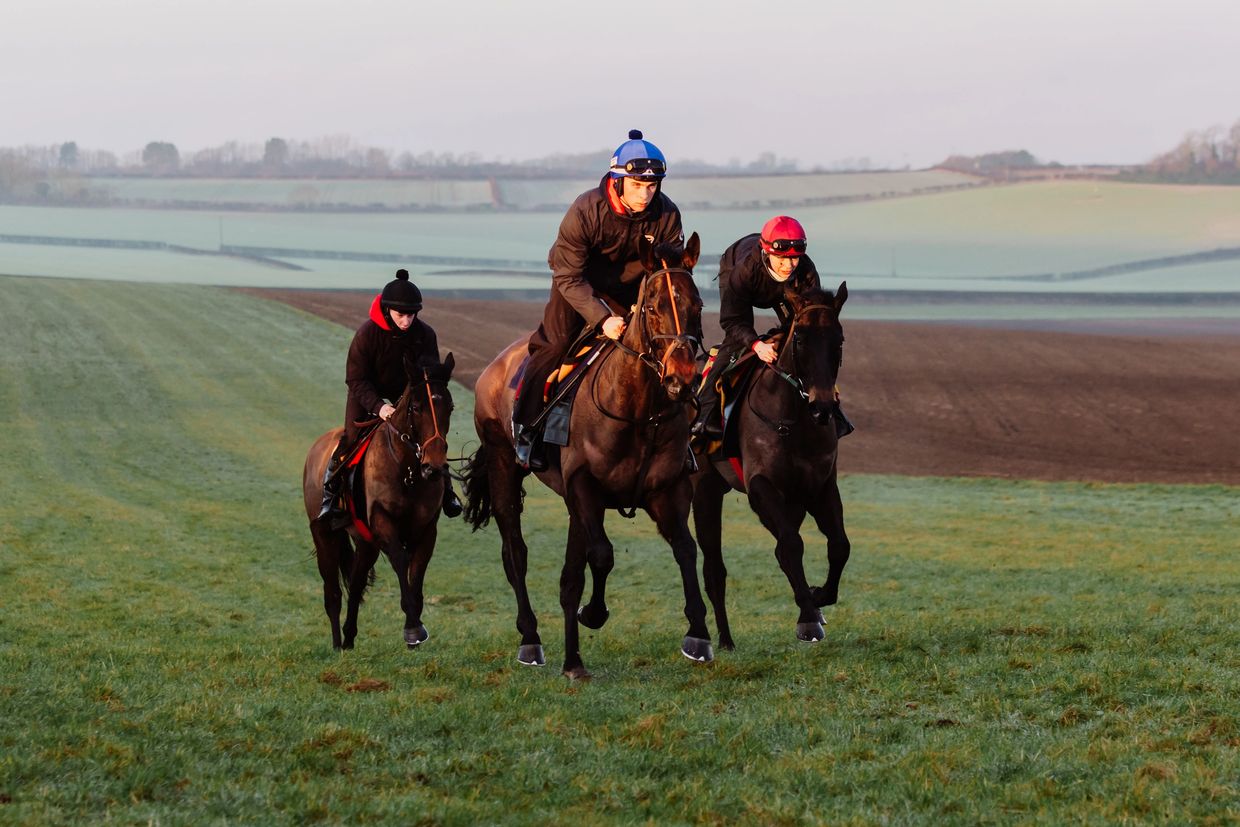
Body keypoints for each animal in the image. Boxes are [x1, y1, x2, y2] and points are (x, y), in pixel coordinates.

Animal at [302, 353, 455, 651]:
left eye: (451, 407)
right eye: (416, 407)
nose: (434, 466)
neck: (407, 472)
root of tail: (316, 449)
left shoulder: (426, 531)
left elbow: (416, 576)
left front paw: (416, 628)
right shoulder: (384, 523)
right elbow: (401, 561)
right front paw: (412, 629)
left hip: (365, 543)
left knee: (356, 585)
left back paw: (349, 639)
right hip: (323, 533)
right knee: (333, 593)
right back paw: (337, 645)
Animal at [463, 233, 712, 679]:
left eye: (697, 305)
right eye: (653, 307)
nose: (680, 379)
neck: (637, 413)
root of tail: (494, 366)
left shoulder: (667, 490)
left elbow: (685, 549)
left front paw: (698, 635)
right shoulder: (583, 487)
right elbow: (602, 555)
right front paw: (592, 614)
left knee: (568, 575)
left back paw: (572, 660)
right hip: (503, 465)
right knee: (515, 554)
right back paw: (531, 639)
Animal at [691, 285, 850, 647]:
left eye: (838, 340)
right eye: (801, 338)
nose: (822, 406)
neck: (793, 419)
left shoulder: (819, 486)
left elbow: (838, 545)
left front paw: (818, 597)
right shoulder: (762, 486)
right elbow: (791, 544)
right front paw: (808, 618)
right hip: (704, 487)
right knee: (714, 568)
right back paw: (724, 640)